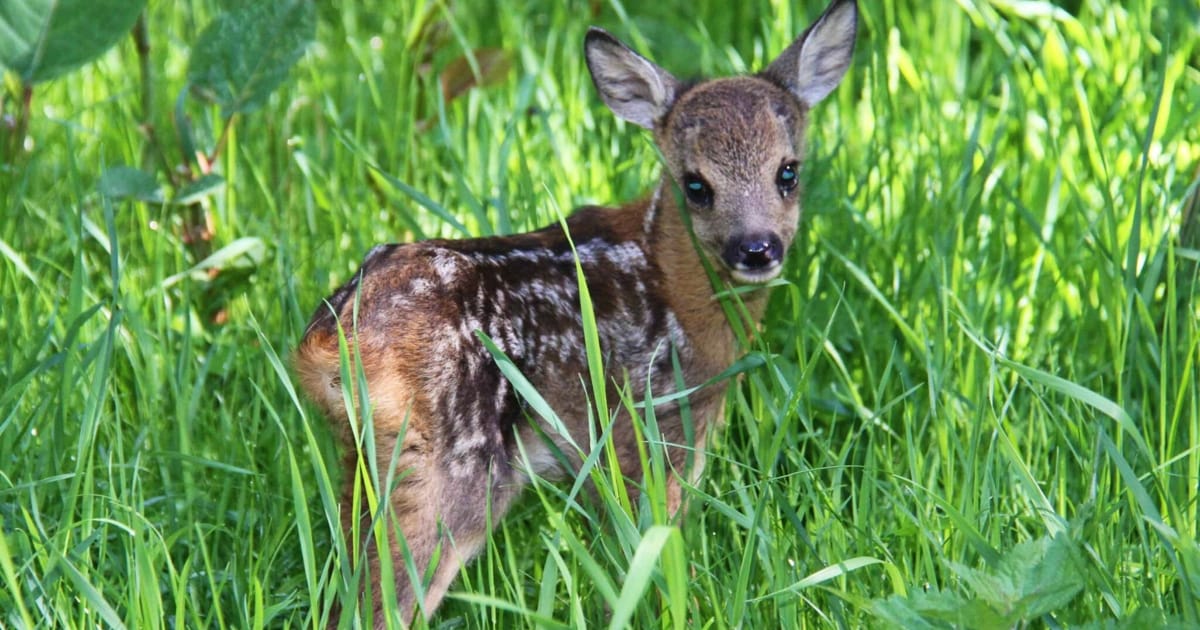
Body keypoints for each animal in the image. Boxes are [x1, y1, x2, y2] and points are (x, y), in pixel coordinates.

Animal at [295, 0, 857, 625]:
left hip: (361, 458)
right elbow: (651, 547)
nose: (756, 248)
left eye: (789, 172)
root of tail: (332, 335)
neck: (671, 284)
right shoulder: (654, 421)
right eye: (696, 185)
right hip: (454, 463)